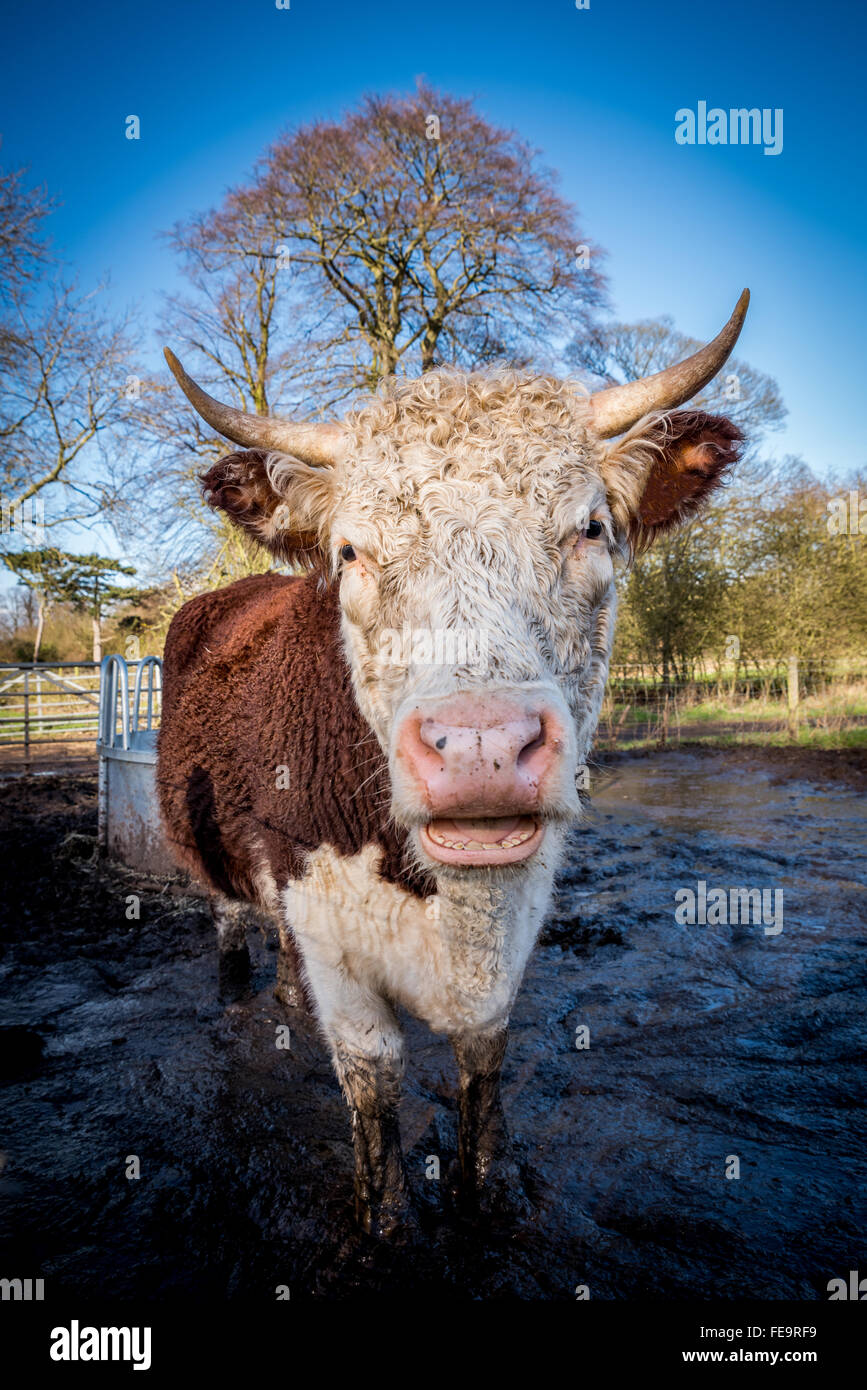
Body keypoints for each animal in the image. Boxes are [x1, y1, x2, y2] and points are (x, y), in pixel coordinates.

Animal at [157, 290, 749, 1237]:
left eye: (589, 528)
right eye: (351, 551)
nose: (480, 747)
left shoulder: (505, 940)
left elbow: (481, 1085)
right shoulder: (336, 953)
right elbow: (376, 1110)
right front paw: (382, 1225)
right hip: (217, 871)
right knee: (233, 932)